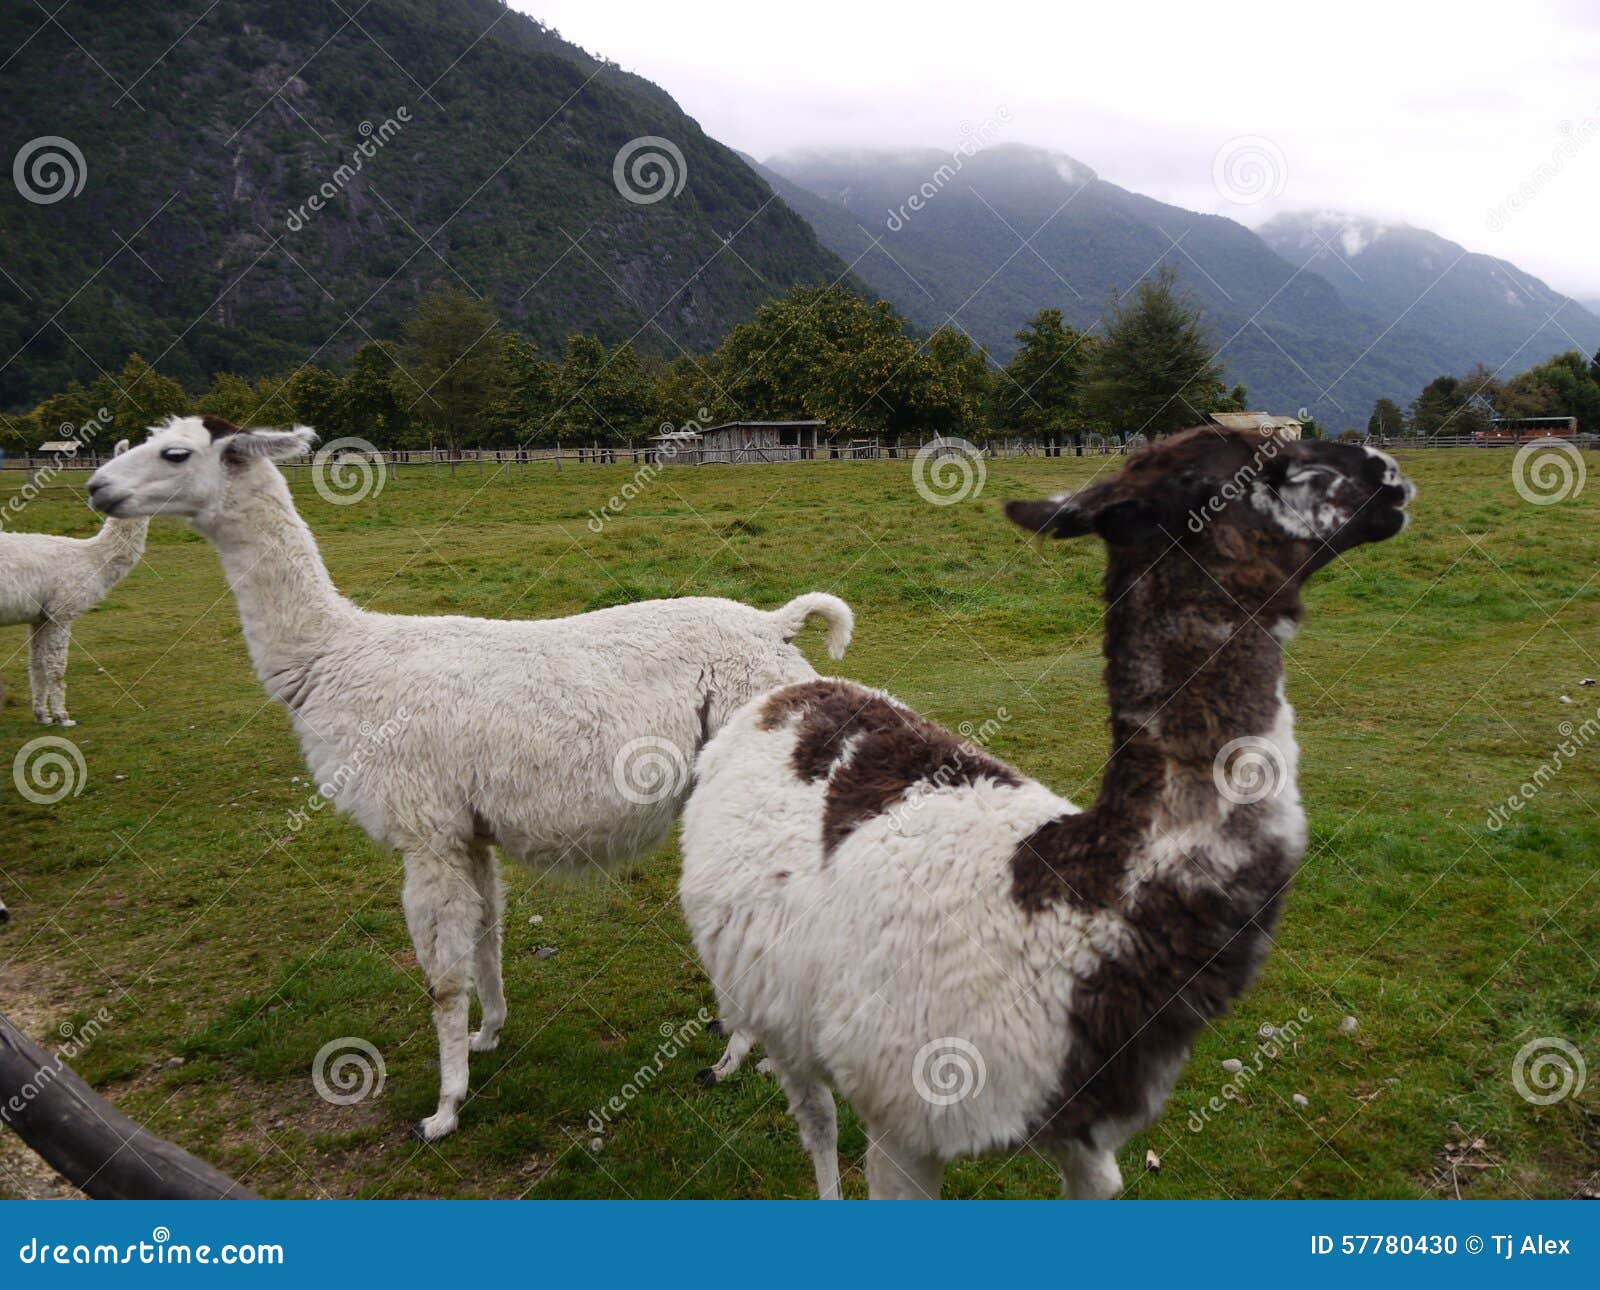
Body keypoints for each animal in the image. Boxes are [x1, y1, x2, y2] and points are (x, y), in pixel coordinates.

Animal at [0, 441, 148, 727]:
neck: (91, 557)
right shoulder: (61, 612)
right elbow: (56, 667)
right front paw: (63, 717)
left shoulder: (40, 616)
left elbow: (36, 666)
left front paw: (42, 715)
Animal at [86, 415, 853, 1142]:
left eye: (175, 453)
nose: (97, 488)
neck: (335, 658)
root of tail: (774, 627)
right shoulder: (469, 829)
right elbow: (488, 933)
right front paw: (489, 1034)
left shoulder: (426, 831)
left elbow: (441, 978)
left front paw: (443, 1111)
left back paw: (734, 1058)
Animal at [679, 427, 1414, 1198]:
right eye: (1264, 468)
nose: (1389, 476)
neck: (1078, 899)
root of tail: (787, 694)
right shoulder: (905, 1117)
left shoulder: (1082, 1130)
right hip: (775, 1001)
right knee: (816, 1120)